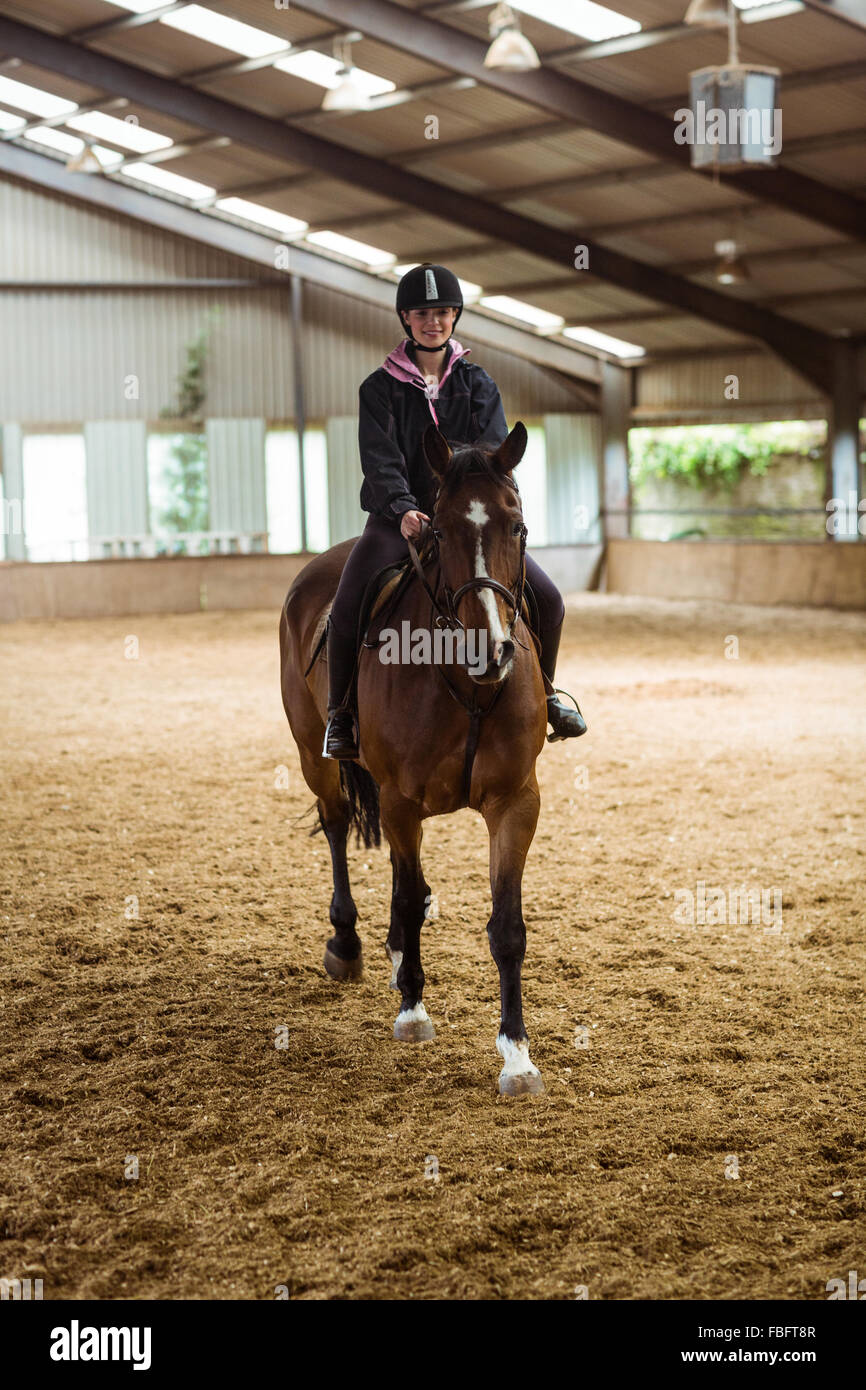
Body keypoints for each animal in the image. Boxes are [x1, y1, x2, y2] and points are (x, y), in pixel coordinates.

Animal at [279, 422, 549, 1096]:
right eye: (439, 532)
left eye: (517, 527)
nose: (491, 650)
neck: (465, 685)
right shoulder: (400, 799)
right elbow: (405, 894)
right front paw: (412, 1011)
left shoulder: (516, 801)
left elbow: (505, 928)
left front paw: (517, 1057)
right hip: (315, 755)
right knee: (338, 827)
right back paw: (348, 944)